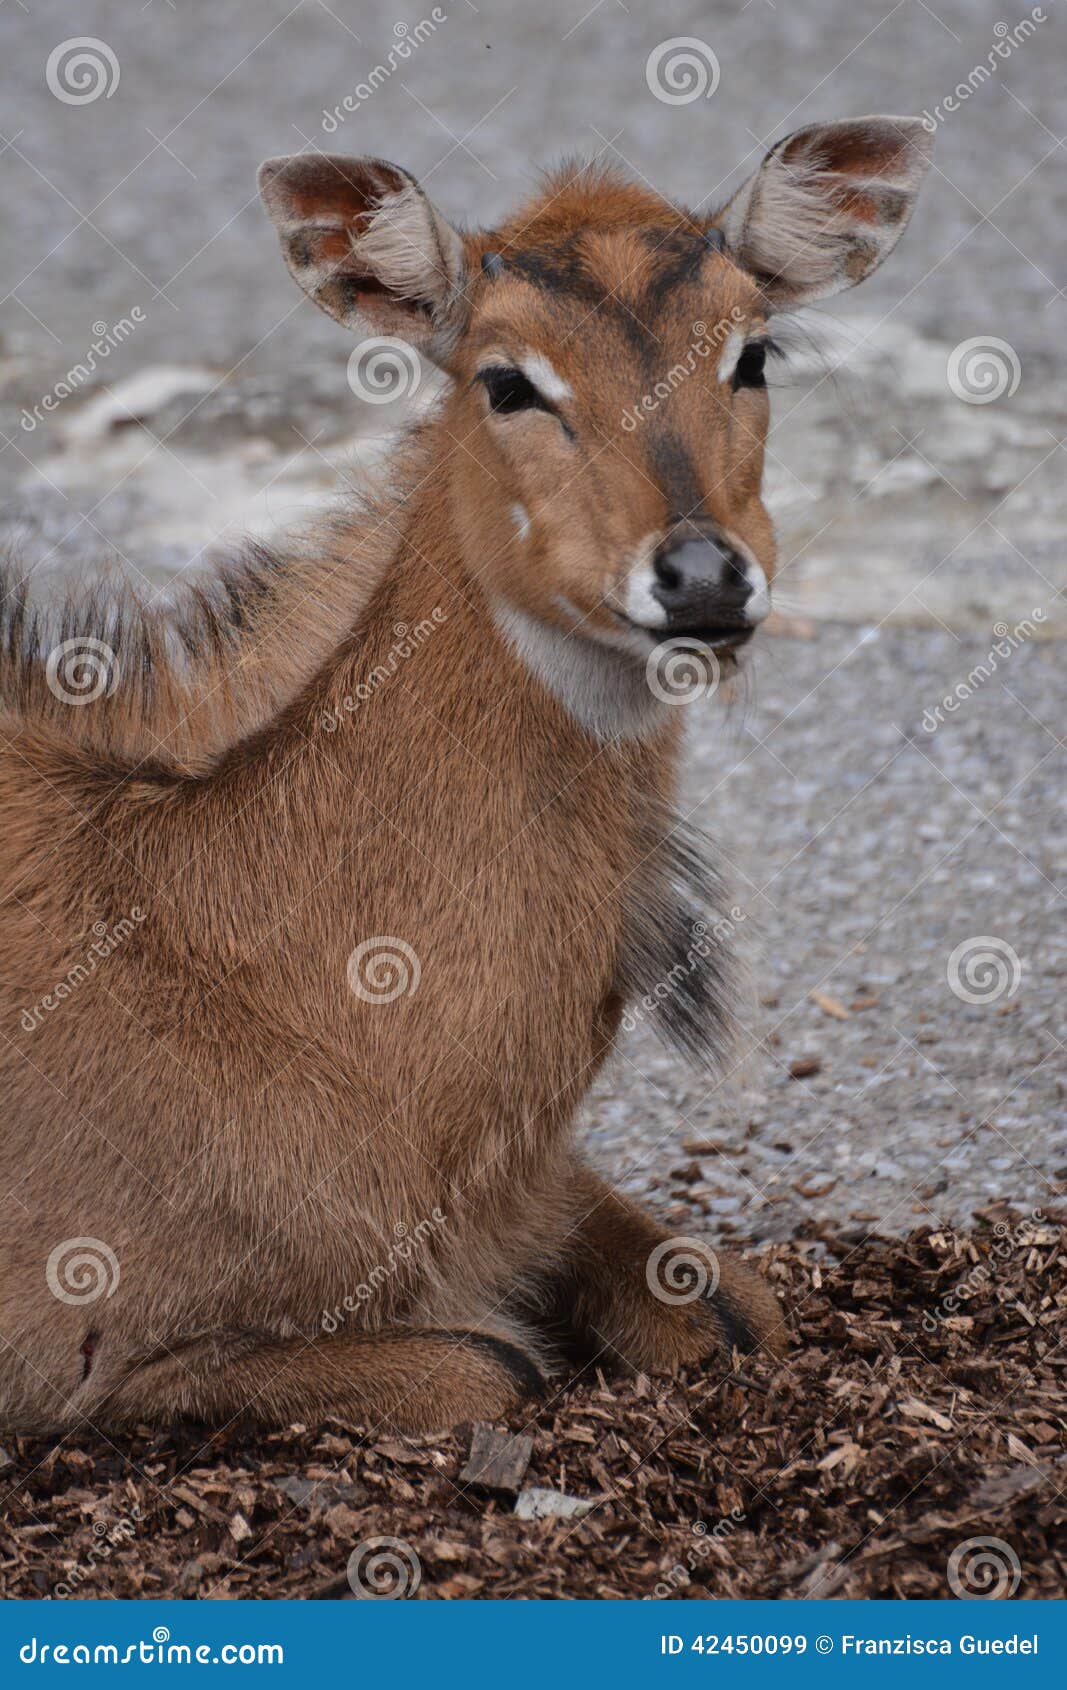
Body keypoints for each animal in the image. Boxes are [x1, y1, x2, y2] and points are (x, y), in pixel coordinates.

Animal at [0, 117, 932, 1435]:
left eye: (752, 352)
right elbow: (495, 1363)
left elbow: (733, 1306)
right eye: (506, 379)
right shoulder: (84, 1359)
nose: (701, 576)